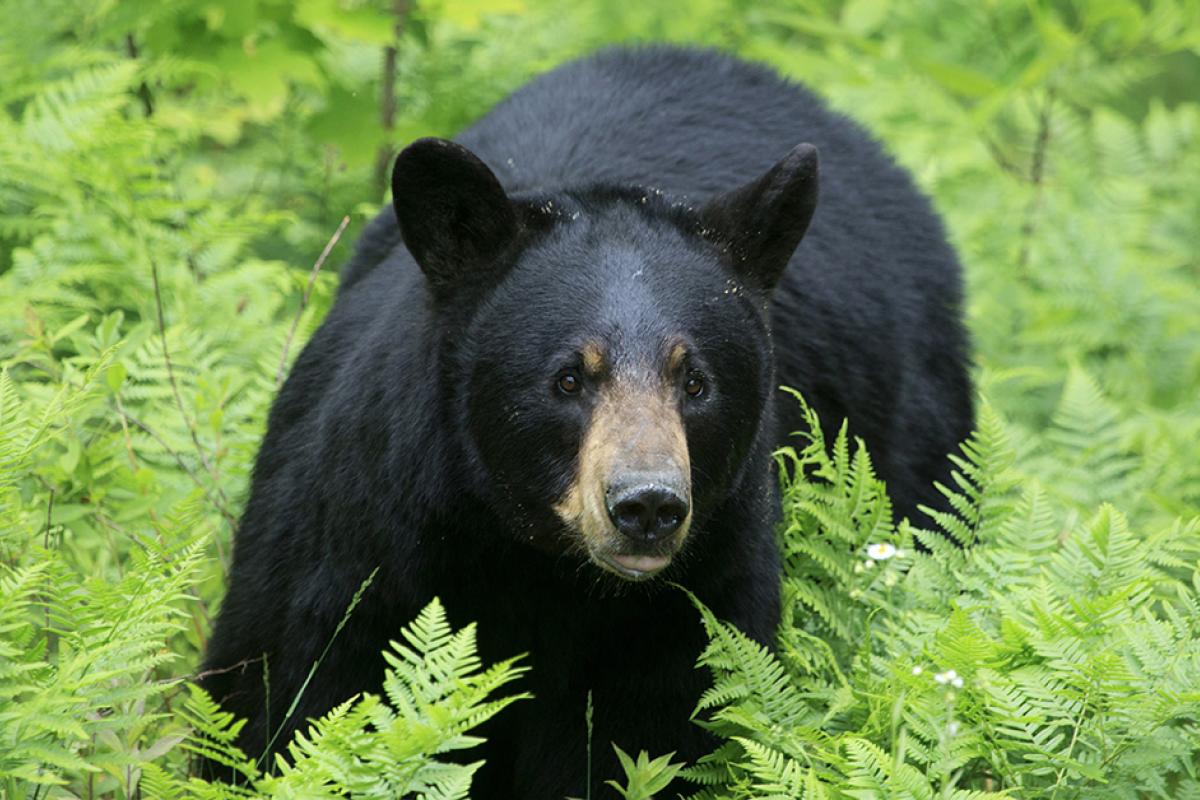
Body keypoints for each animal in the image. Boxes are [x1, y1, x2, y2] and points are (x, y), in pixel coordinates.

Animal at [200, 45, 972, 799]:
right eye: (569, 378)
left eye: (696, 382)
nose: (647, 505)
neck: (539, 568)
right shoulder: (356, 551)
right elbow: (285, 698)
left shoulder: (701, 600)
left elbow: (657, 745)